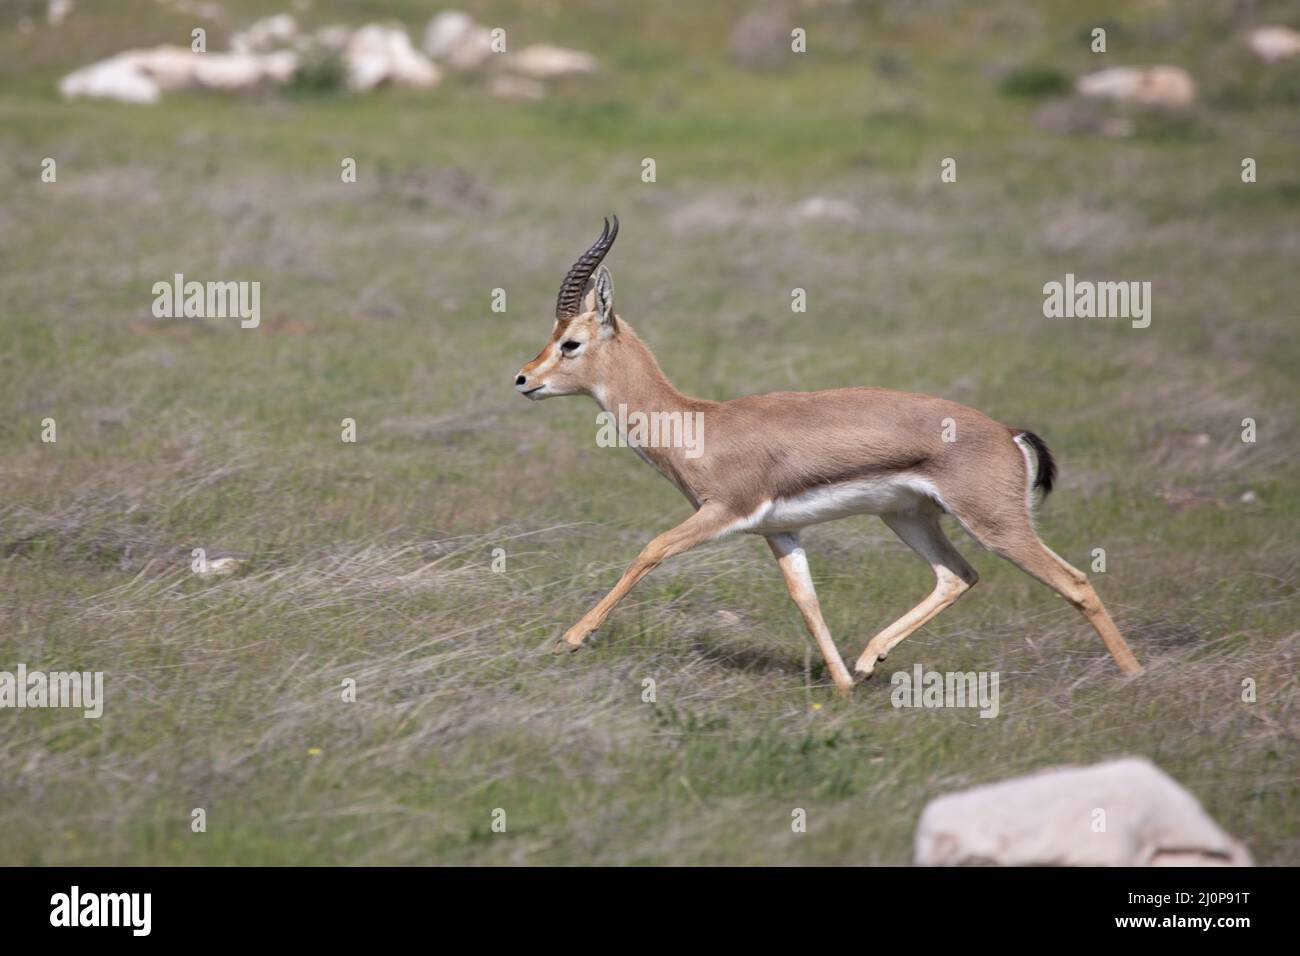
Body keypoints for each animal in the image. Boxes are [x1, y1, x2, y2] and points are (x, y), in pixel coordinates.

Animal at [514, 217, 1142, 694]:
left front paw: (569, 639)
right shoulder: (779, 531)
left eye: (570, 342)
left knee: (1075, 582)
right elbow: (805, 598)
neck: (700, 423)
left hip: (996, 524)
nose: (523, 379)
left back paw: (1135, 677)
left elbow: (651, 549)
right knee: (958, 575)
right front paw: (839, 683)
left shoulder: (723, 512)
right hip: (909, 517)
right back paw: (867, 662)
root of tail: (1008, 433)